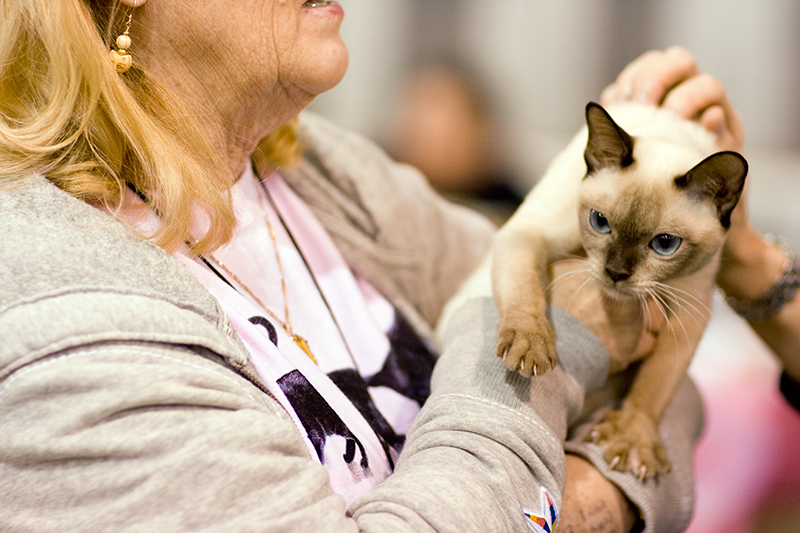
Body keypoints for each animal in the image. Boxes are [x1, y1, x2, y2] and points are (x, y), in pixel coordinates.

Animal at [440, 101, 748, 478]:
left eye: (664, 244)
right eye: (600, 222)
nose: (615, 273)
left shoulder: (691, 307)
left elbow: (655, 385)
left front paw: (631, 441)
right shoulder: (527, 234)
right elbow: (525, 293)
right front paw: (531, 347)